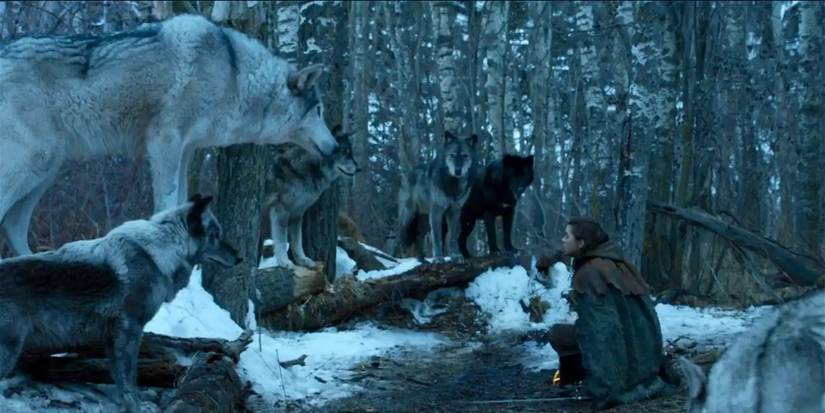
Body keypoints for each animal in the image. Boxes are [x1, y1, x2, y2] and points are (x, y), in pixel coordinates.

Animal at [0, 14, 337, 256]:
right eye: (320, 110)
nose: (335, 147)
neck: (234, 74)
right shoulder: (165, 141)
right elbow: (166, 199)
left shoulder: (186, 150)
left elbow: (181, 196)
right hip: (34, 165)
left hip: (45, 173)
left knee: (13, 224)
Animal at [0, 194, 240, 412]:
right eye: (216, 235)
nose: (240, 258)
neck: (161, 253)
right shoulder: (131, 330)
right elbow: (130, 381)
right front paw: (135, 406)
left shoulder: (112, 339)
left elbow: (119, 379)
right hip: (10, 350)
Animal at [260, 125, 359, 268]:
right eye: (344, 152)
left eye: (350, 153)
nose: (359, 169)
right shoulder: (280, 210)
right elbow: (282, 241)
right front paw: (284, 262)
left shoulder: (297, 214)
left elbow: (297, 242)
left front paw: (303, 260)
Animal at [398, 132, 480, 261]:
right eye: (452, 155)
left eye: (464, 156)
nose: (457, 170)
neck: (453, 185)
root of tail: (406, 174)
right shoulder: (436, 211)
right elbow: (437, 239)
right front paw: (438, 258)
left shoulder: (455, 211)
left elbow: (452, 238)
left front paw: (455, 256)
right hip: (408, 217)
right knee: (402, 239)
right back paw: (404, 260)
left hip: (424, 220)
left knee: (418, 237)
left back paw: (422, 260)